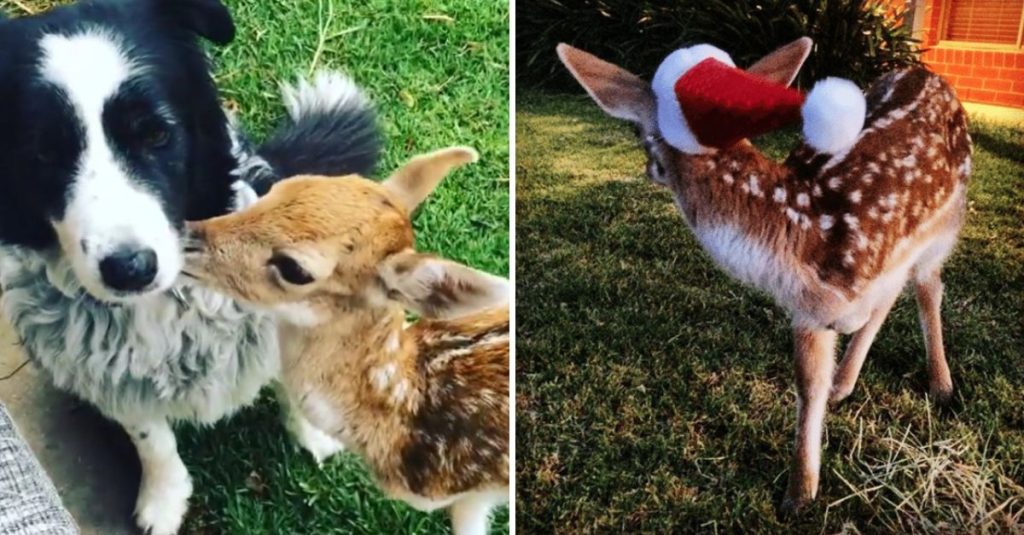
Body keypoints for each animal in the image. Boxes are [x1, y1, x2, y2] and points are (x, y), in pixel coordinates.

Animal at [558, 37, 971, 514]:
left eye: (638, 133)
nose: (648, 170)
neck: (801, 224)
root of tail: (926, 72)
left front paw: (797, 495)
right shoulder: (810, 311)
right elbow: (810, 384)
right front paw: (804, 484)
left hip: (948, 223)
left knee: (929, 287)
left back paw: (942, 384)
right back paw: (847, 383)